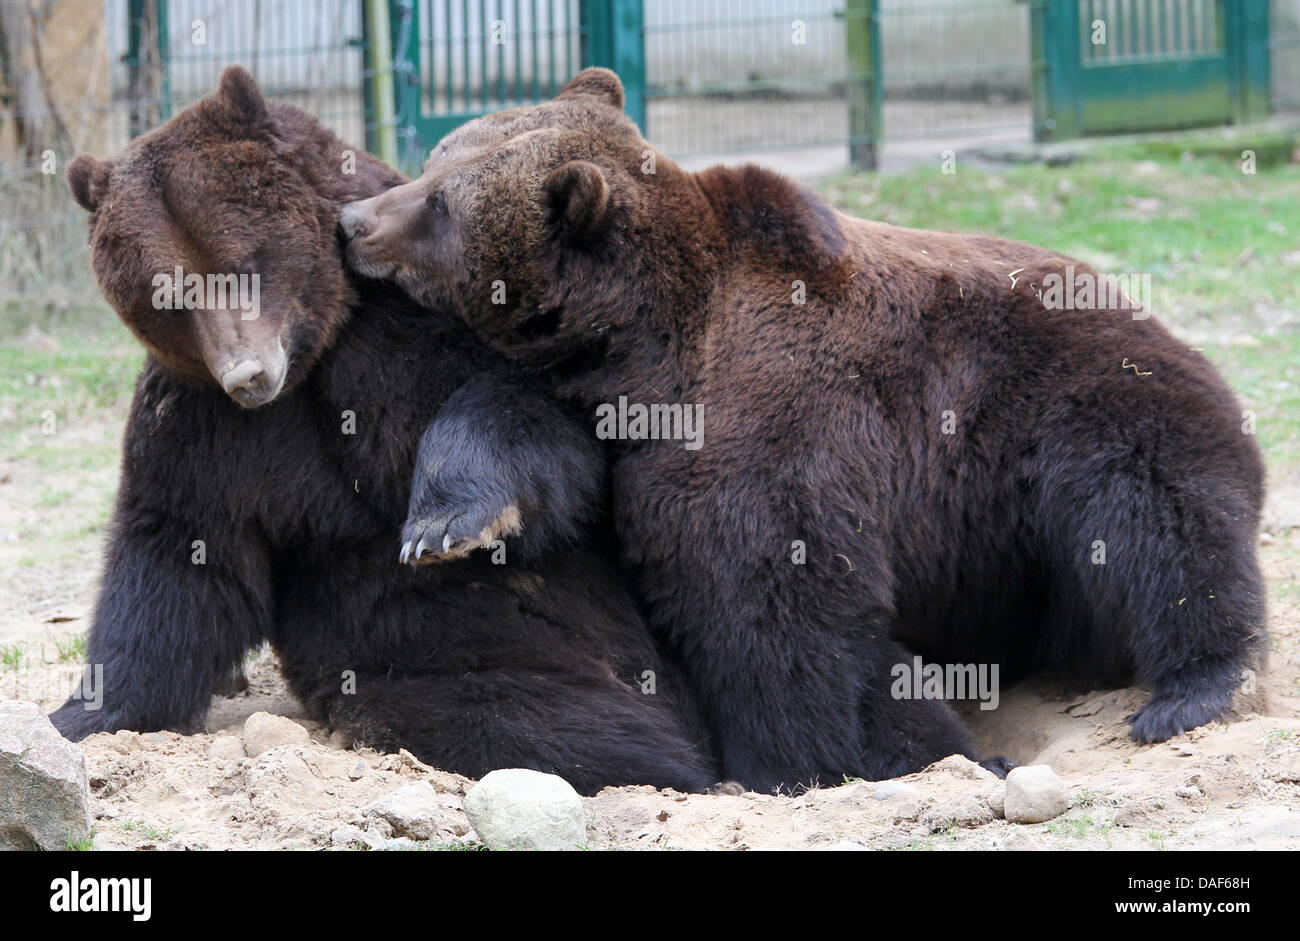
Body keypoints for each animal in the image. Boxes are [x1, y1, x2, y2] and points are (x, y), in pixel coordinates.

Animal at [48, 66, 722, 796]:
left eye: (243, 262)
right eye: (168, 295)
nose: (248, 374)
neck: (312, 357)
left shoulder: (402, 333)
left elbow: (540, 433)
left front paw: (448, 521)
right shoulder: (203, 419)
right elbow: (177, 555)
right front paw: (85, 714)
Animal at [339, 67, 1267, 793]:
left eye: (441, 202)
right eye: (436, 159)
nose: (355, 221)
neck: (646, 345)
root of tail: (1147, 312)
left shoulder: (773, 418)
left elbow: (778, 597)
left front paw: (810, 758)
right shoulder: (596, 403)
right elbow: (508, 426)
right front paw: (447, 525)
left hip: (1083, 409)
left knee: (1159, 522)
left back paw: (1191, 686)